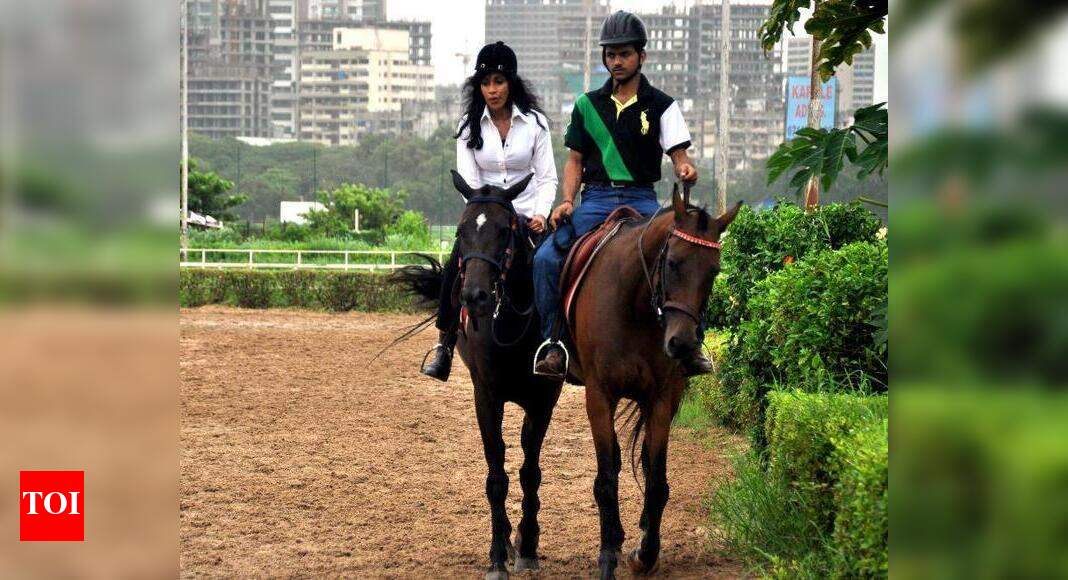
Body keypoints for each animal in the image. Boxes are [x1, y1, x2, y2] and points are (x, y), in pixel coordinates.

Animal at [397, 170, 564, 580]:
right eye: (460, 231)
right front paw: (498, 556)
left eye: (505, 230)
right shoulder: (486, 396)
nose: (474, 295)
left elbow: (530, 471)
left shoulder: (542, 401)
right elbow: (496, 475)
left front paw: (528, 547)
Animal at [565, 183, 741, 579]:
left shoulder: (662, 399)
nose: (683, 343)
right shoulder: (599, 397)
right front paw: (608, 555)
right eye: (673, 262)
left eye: (714, 271)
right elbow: (607, 478)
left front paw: (645, 553)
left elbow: (656, 478)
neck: (635, 306)